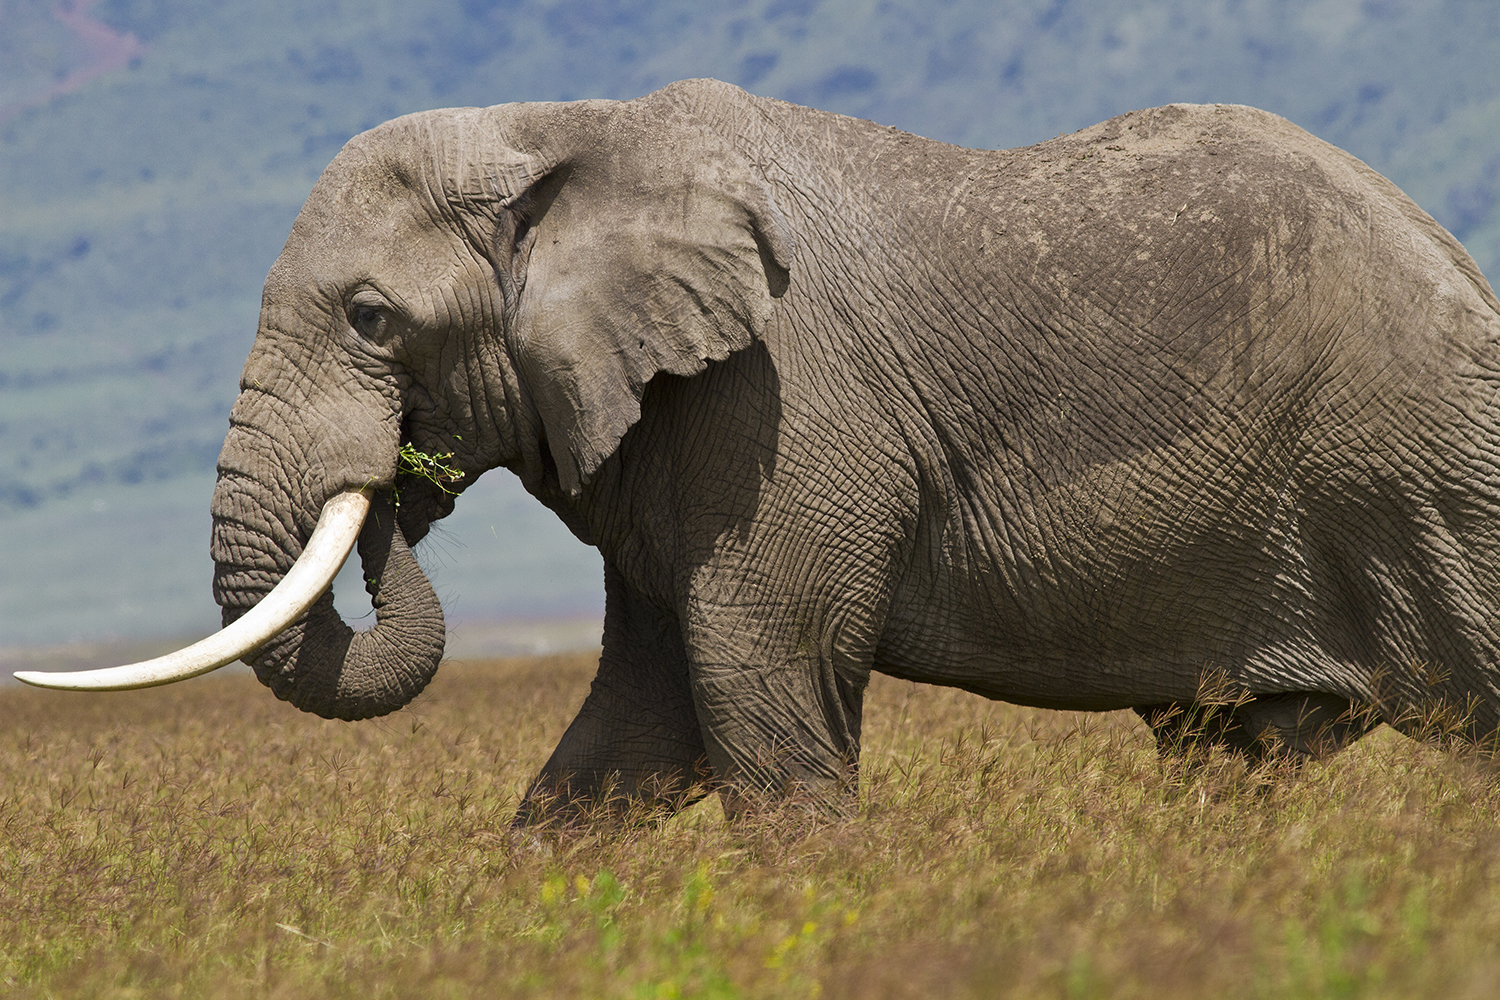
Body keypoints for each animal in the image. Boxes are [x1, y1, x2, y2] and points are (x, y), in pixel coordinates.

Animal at [21, 79, 1500, 824]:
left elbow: (754, 672)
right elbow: (636, 721)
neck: (571, 133)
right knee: (1233, 758)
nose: (398, 487)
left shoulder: (781, 406)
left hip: (1425, 473)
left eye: (372, 319)